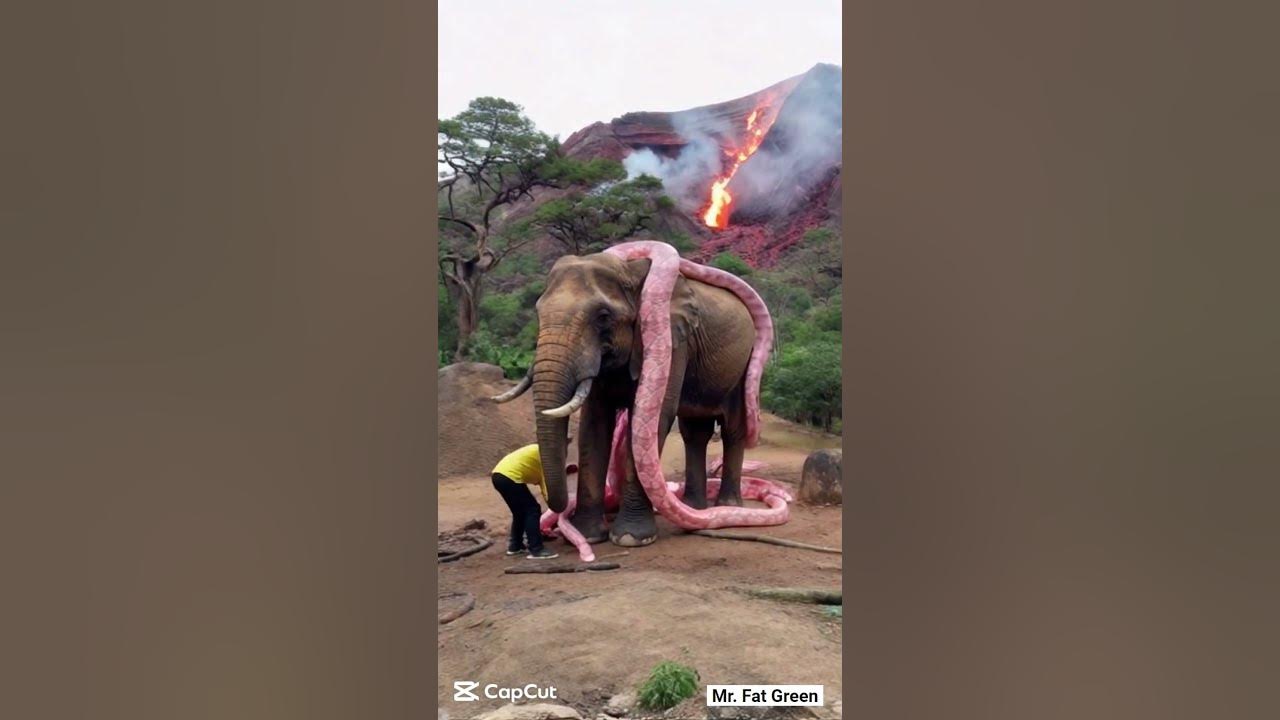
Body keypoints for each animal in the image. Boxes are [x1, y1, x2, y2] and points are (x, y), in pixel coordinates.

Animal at [489, 250, 757, 547]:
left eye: (603, 316)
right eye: (538, 313)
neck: (630, 272)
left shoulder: (674, 340)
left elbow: (654, 417)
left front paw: (631, 538)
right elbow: (594, 421)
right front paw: (588, 535)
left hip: (744, 365)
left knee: (733, 428)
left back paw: (728, 506)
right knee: (694, 432)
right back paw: (694, 508)